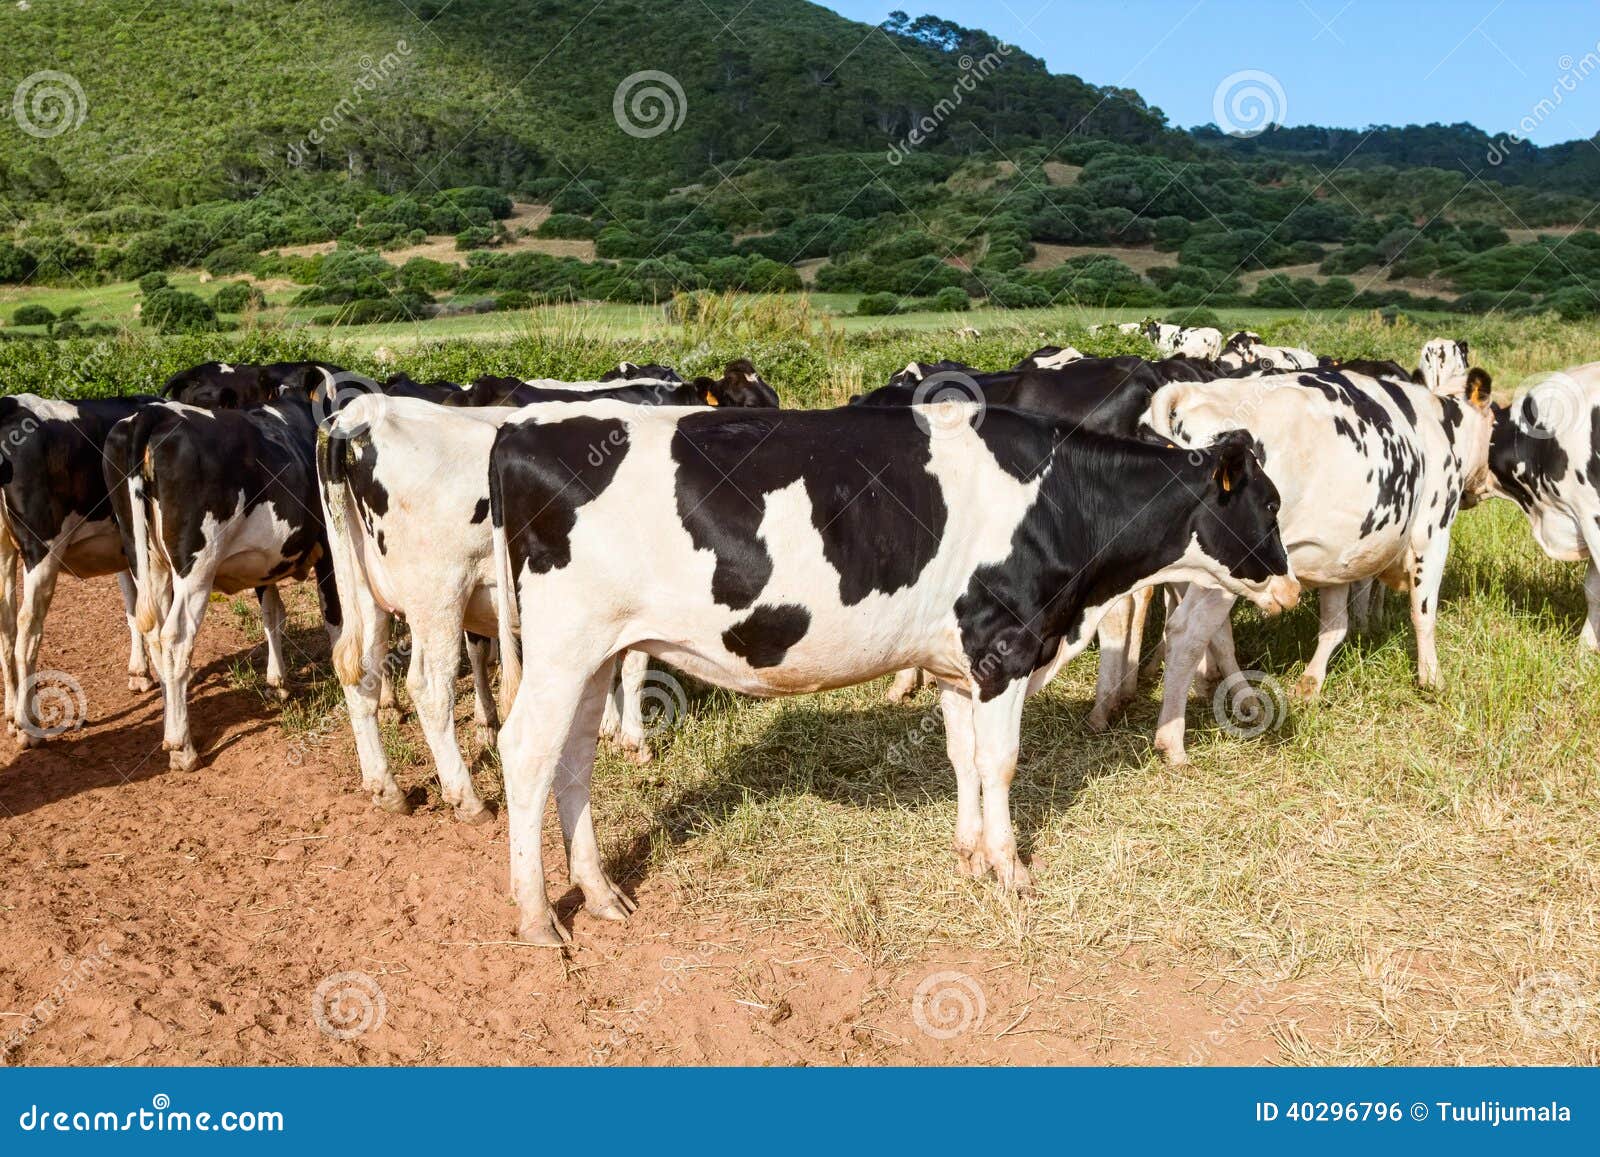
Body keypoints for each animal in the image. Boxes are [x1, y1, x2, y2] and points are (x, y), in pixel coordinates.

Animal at [103, 379, 340, 771]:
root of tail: (152, 414)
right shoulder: (330, 552)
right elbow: (338, 622)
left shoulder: (266, 562)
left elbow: (273, 615)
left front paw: (278, 682)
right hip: (196, 568)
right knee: (176, 638)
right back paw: (183, 747)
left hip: (146, 560)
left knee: (153, 634)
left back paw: (171, 724)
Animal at [486, 400, 1296, 944]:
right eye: (1269, 503)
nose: (1290, 586)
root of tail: (524, 427)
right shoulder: (1006, 643)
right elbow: (1001, 762)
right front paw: (1010, 868)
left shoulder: (959, 660)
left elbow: (963, 756)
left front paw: (970, 854)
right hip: (563, 645)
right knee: (525, 752)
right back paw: (537, 918)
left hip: (595, 653)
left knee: (573, 759)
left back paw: (598, 892)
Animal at [1134, 367, 1493, 764]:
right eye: (1495, 422)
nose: (1483, 484)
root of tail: (1187, 392)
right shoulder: (1433, 531)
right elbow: (1423, 613)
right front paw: (1432, 679)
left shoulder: (1337, 559)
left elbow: (1335, 626)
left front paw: (1310, 685)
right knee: (1187, 632)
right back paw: (1173, 743)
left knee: (1211, 634)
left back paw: (1238, 697)